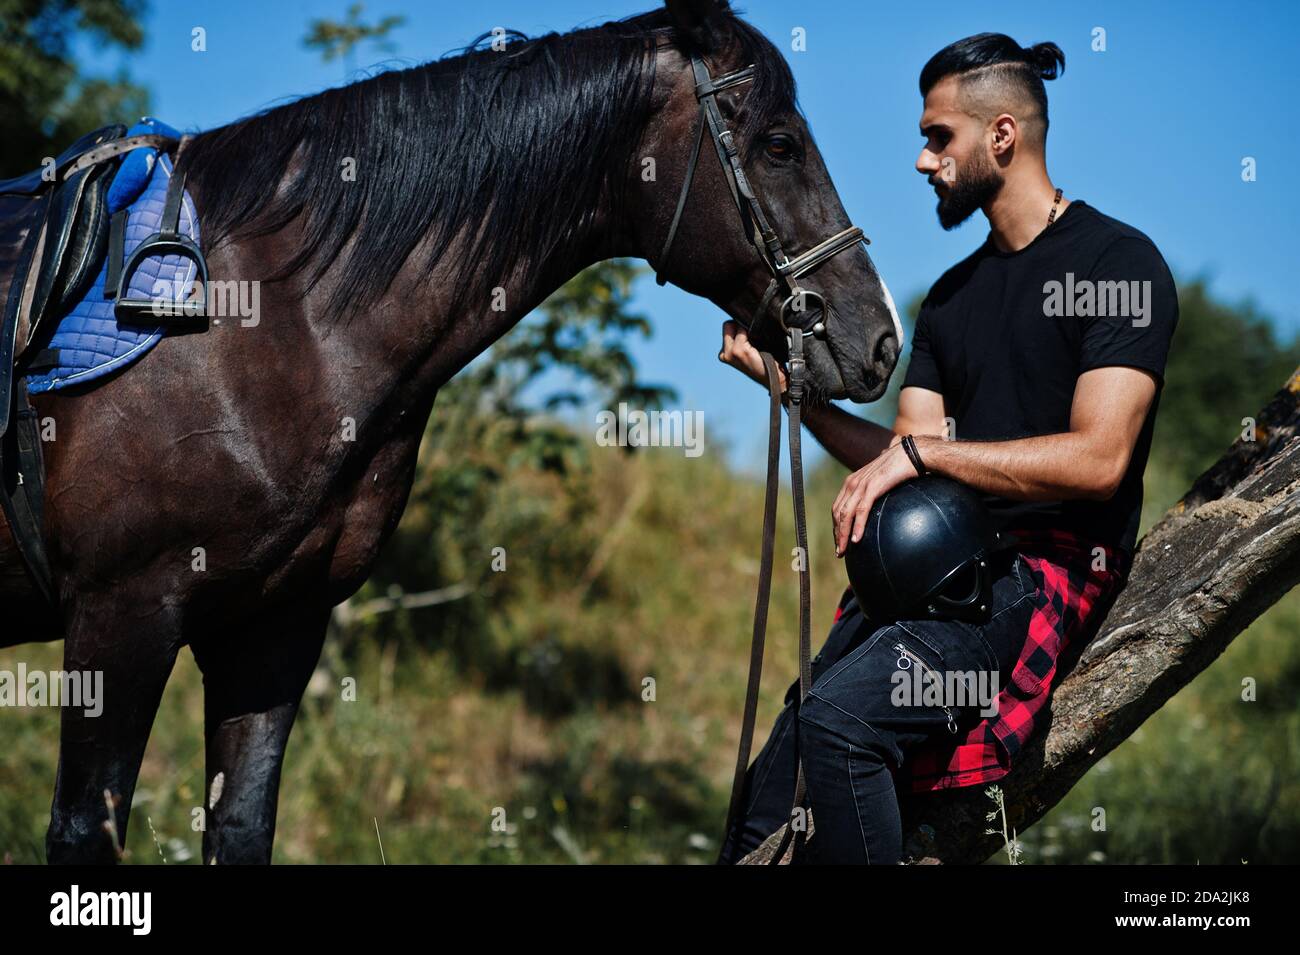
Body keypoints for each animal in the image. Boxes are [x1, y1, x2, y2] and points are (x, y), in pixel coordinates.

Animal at [0, 0, 901, 863]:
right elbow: (84, 830)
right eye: (780, 144)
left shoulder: (273, 626)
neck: (256, 320)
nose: (881, 338)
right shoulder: (122, 614)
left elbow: (242, 826)